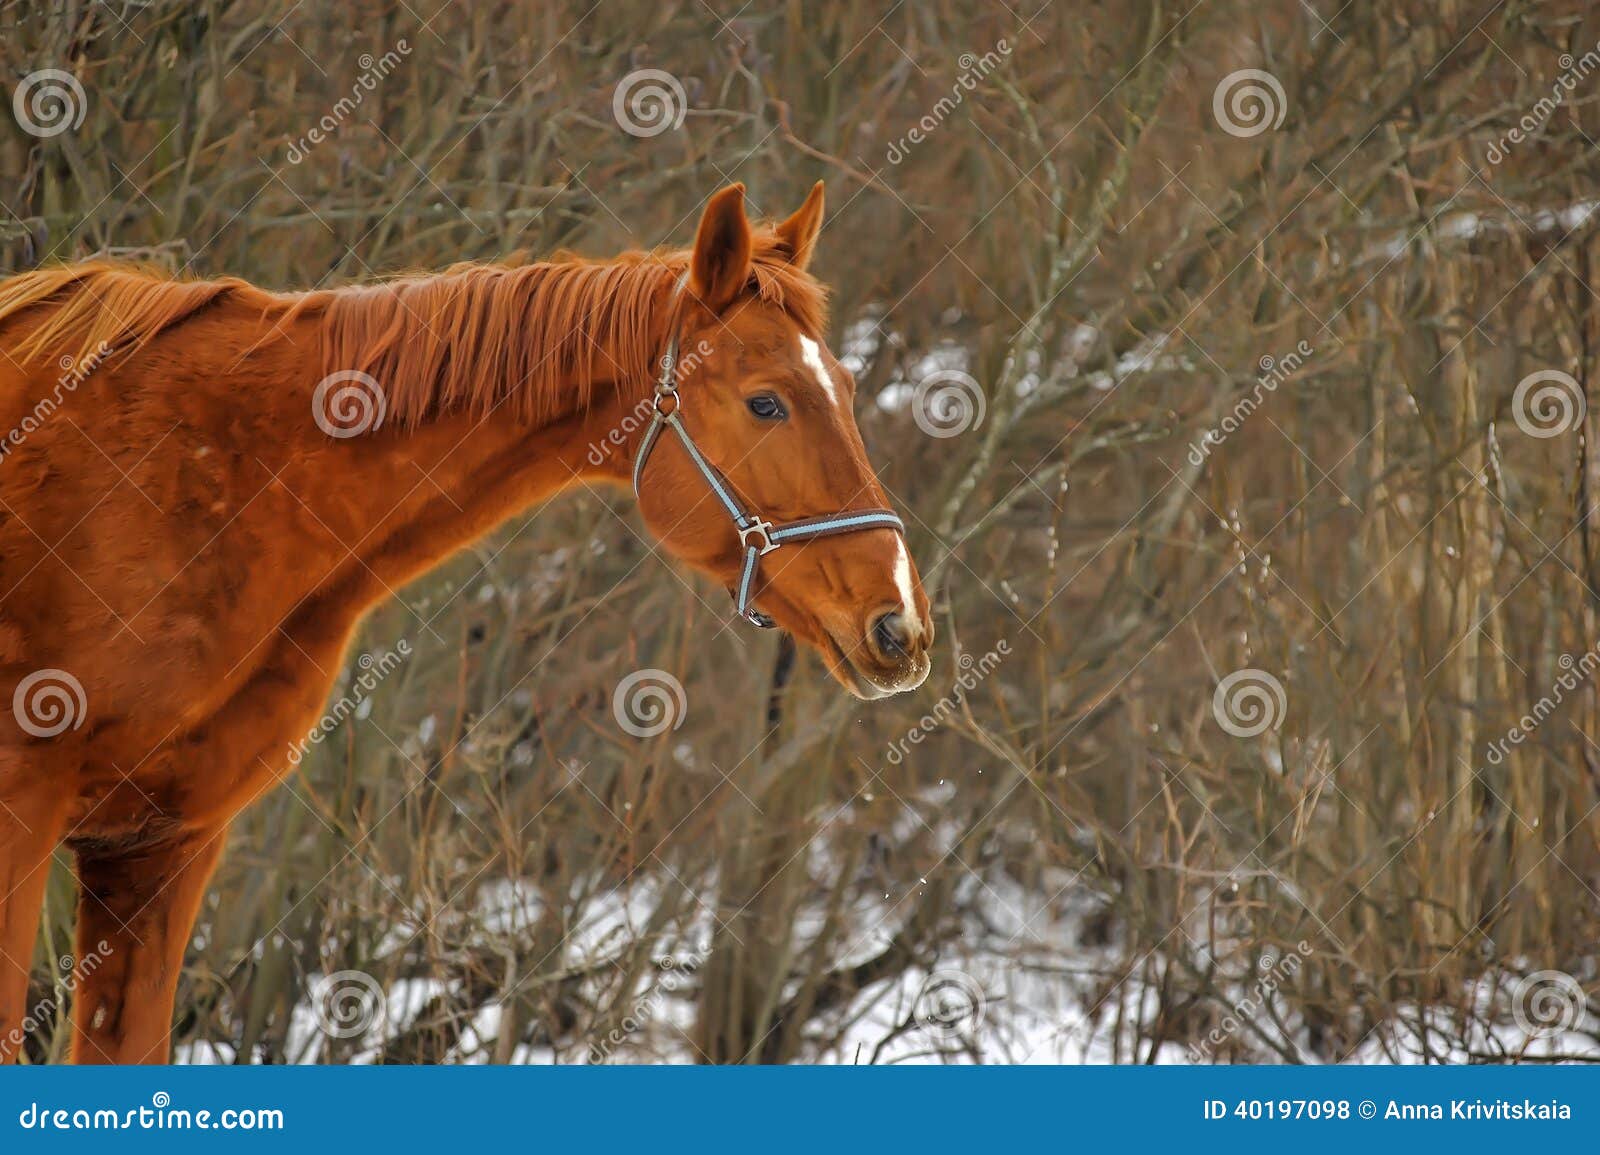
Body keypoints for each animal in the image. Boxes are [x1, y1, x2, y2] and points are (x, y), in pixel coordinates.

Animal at [0, 182, 932, 1063]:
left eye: (849, 389)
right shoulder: (26, 818)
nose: (902, 626)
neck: (202, 478)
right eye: (766, 403)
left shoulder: (163, 848)